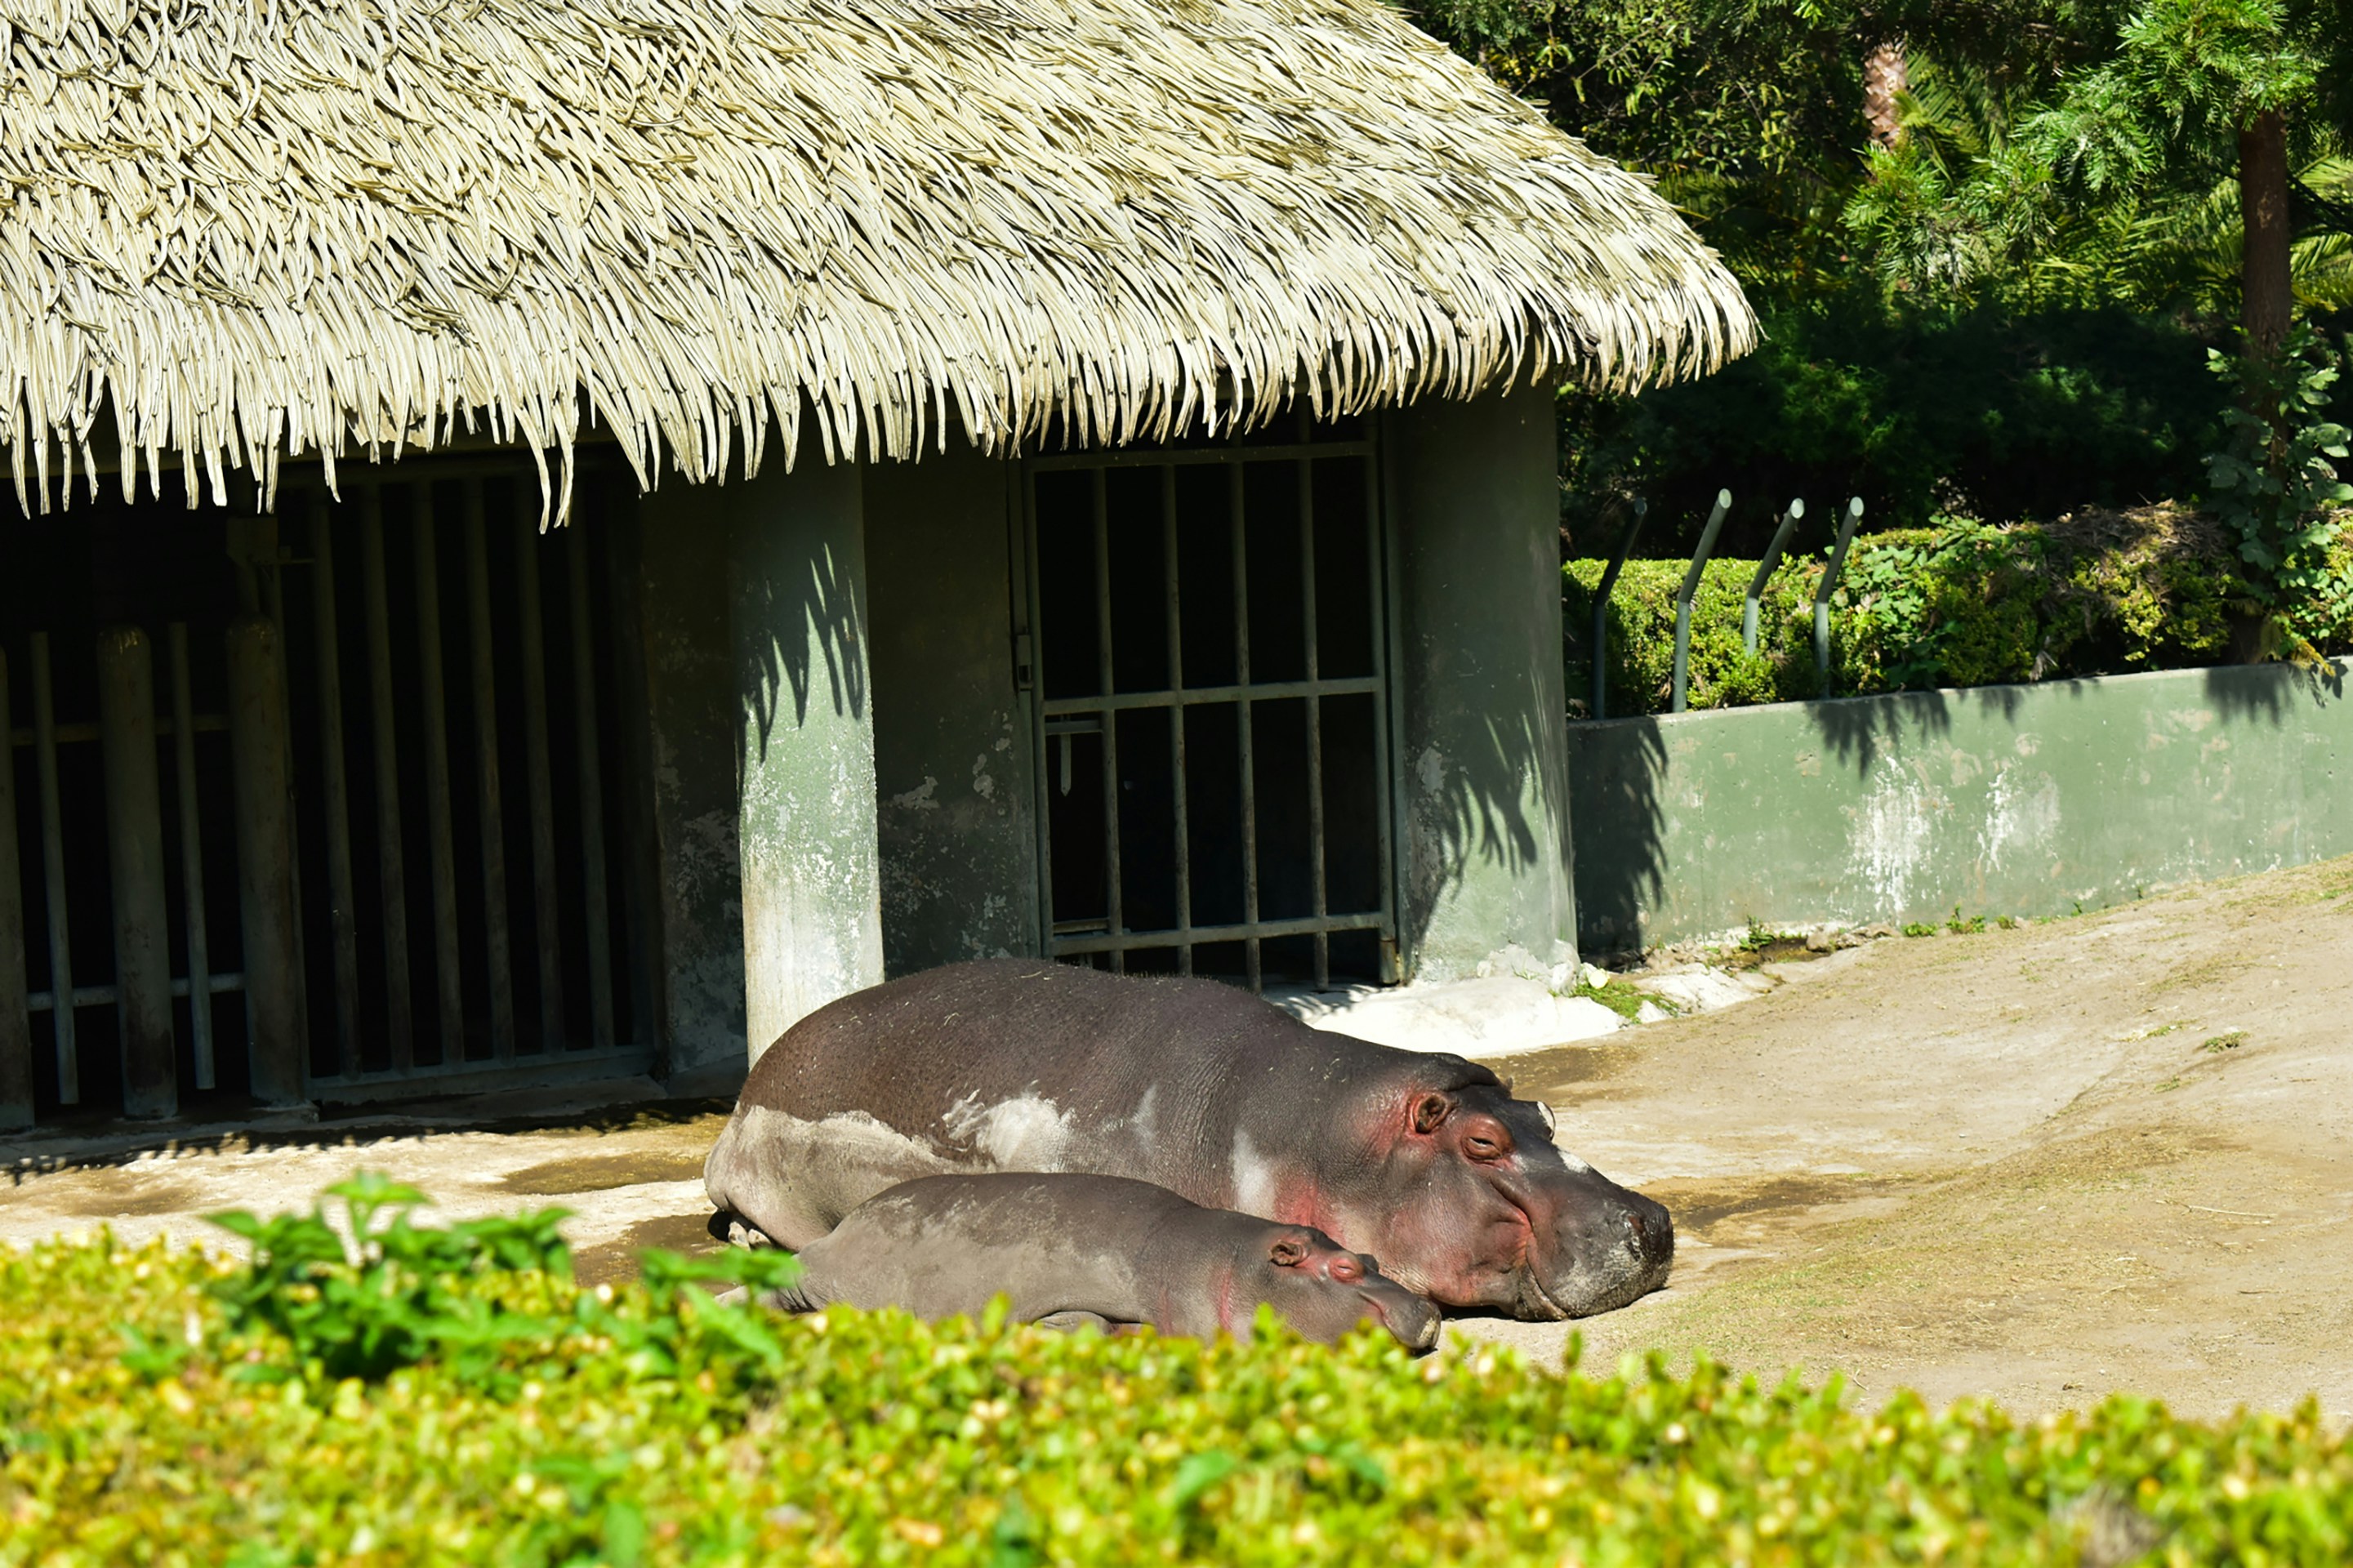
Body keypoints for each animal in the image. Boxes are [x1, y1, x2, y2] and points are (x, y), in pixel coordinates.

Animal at [763, 1172, 1442, 1350]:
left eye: (1367, 1255)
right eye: (1344, 1272)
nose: (1430, 1313)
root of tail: (836, 1233)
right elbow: (1089, 1323)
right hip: (836, 1283)